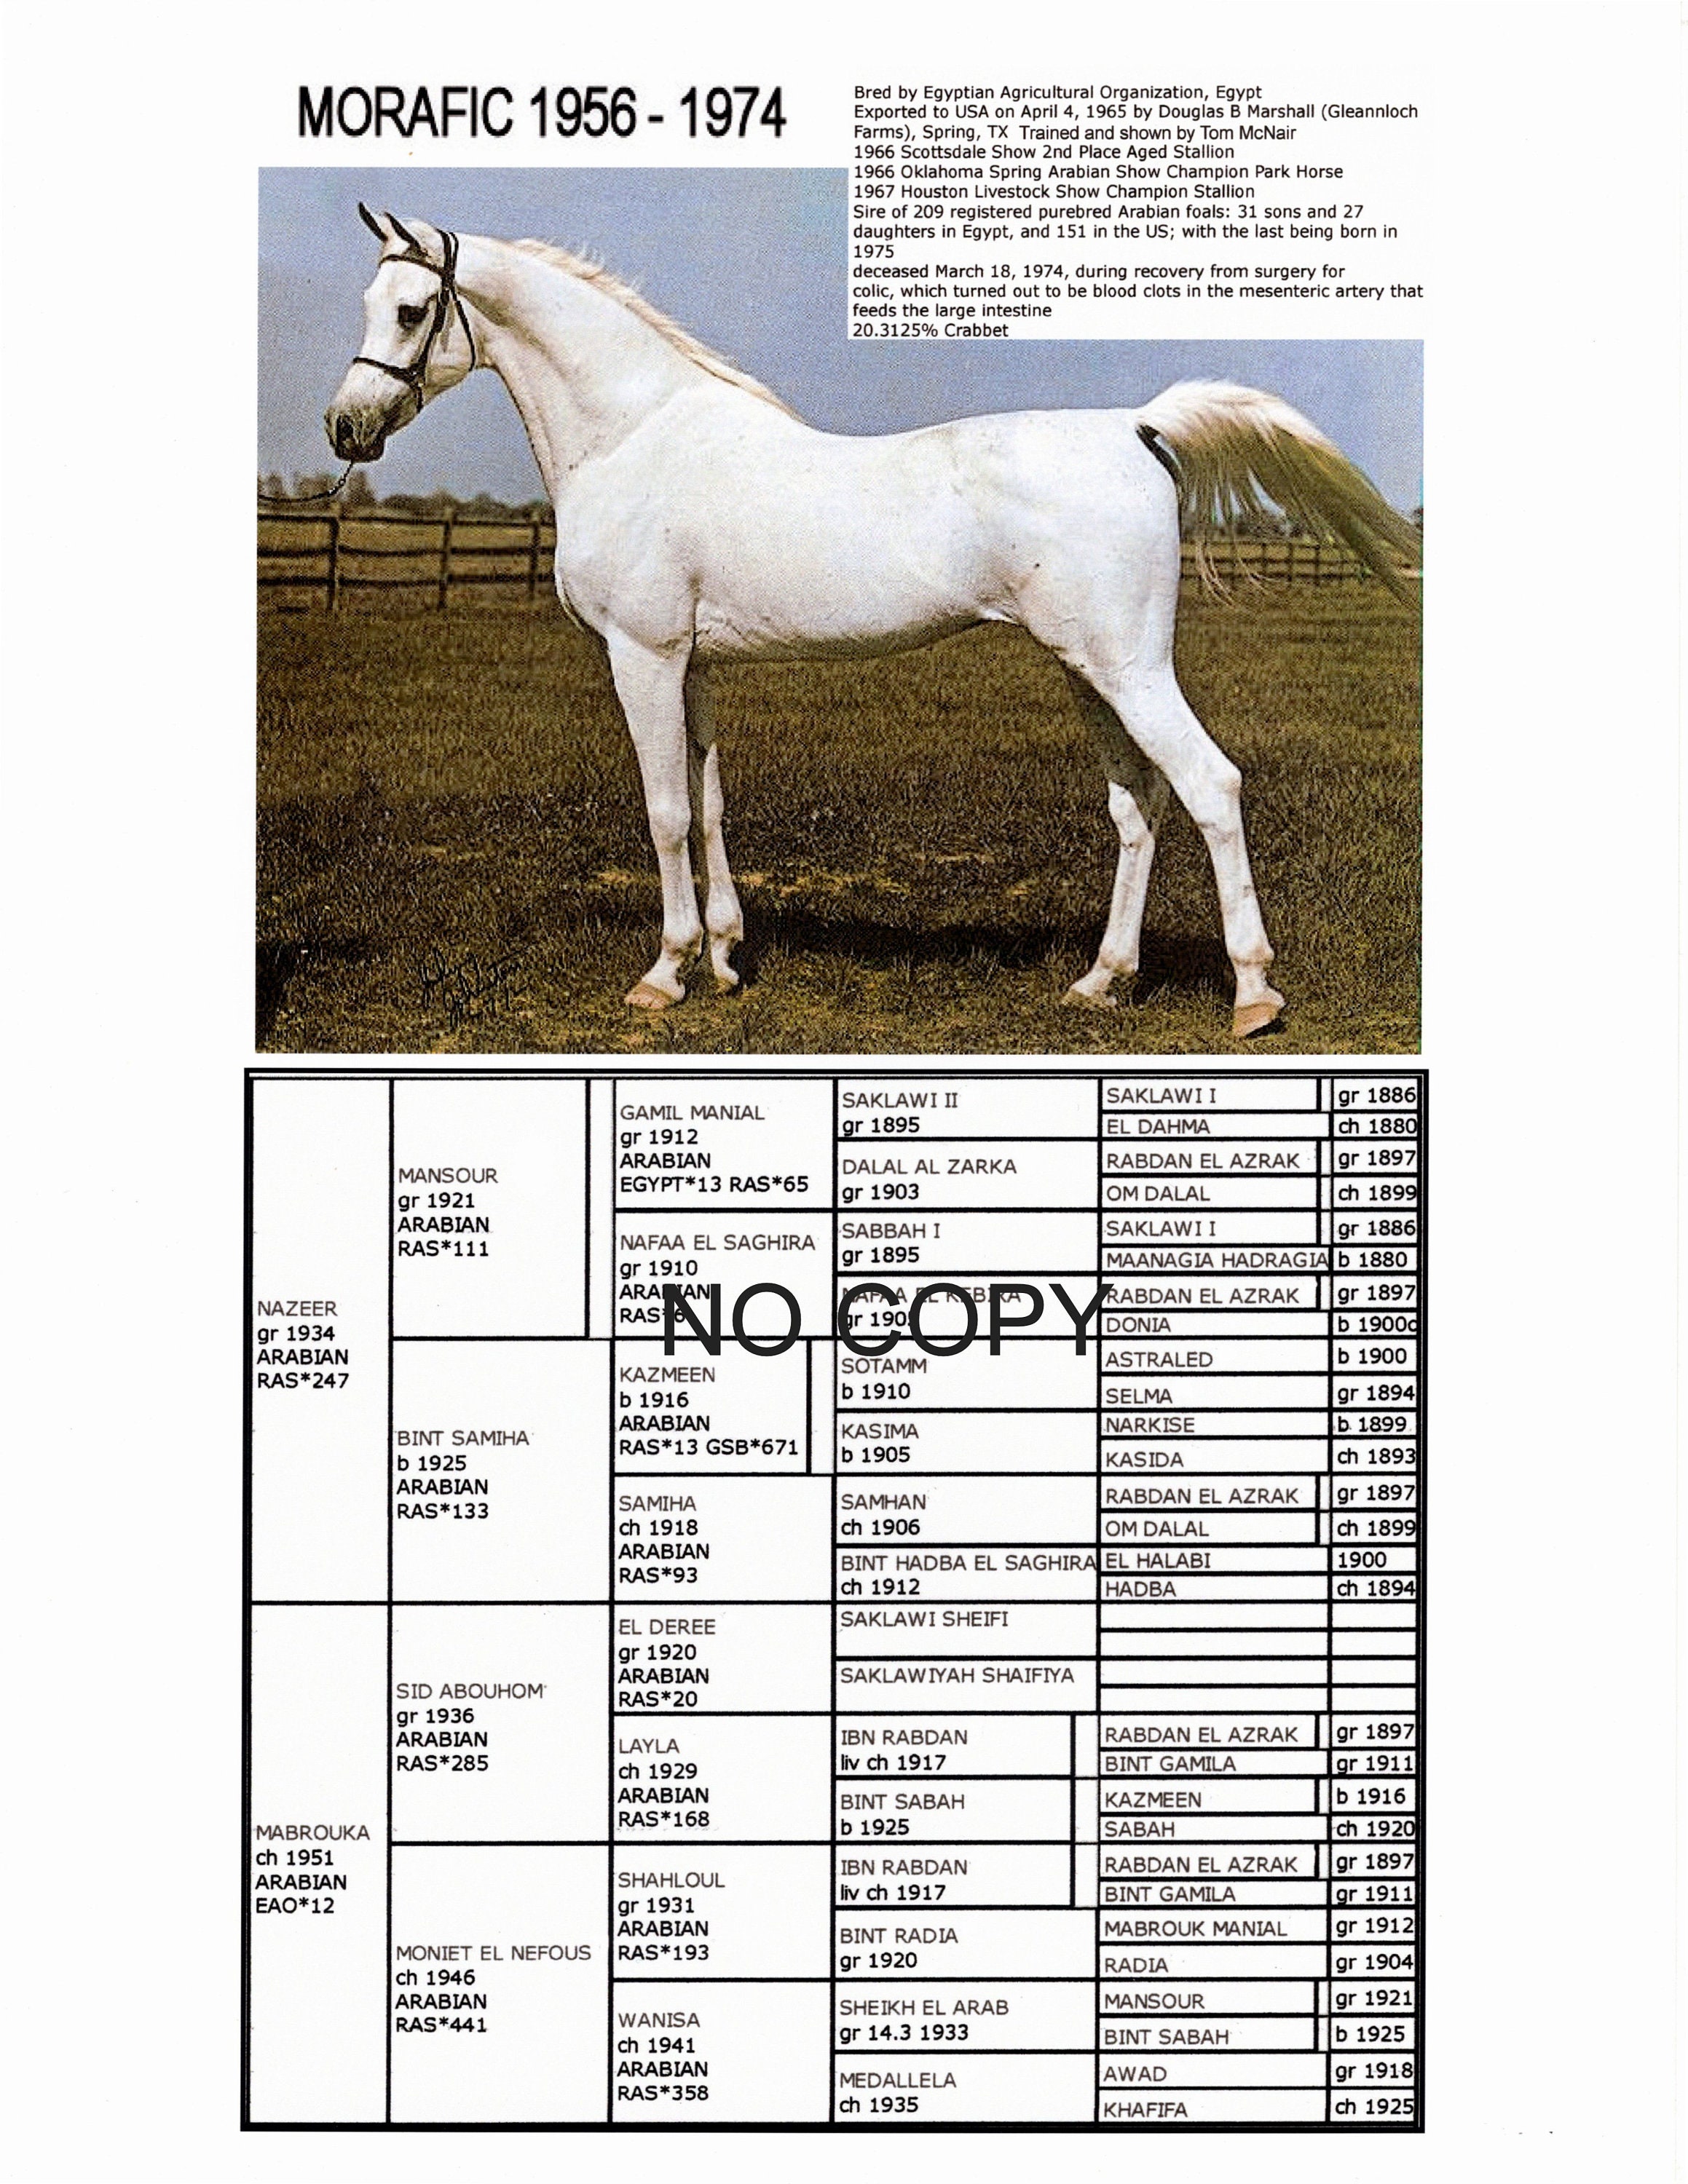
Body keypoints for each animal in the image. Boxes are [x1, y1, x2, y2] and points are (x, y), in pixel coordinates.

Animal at [323, 208, 1419, 1037]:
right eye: (368, 303)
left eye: (413, 310)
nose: (345, 428)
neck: (635, 436)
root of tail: (1133, 425)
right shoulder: (697, 665)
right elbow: (712, 805)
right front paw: (724, 960)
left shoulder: (643, 656)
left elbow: (666, 811)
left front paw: (664, 973)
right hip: (1086, 669)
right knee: (1137, 806)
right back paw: (1100, 982)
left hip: (1130, 668)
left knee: (1209, 786)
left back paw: (1254, 996)